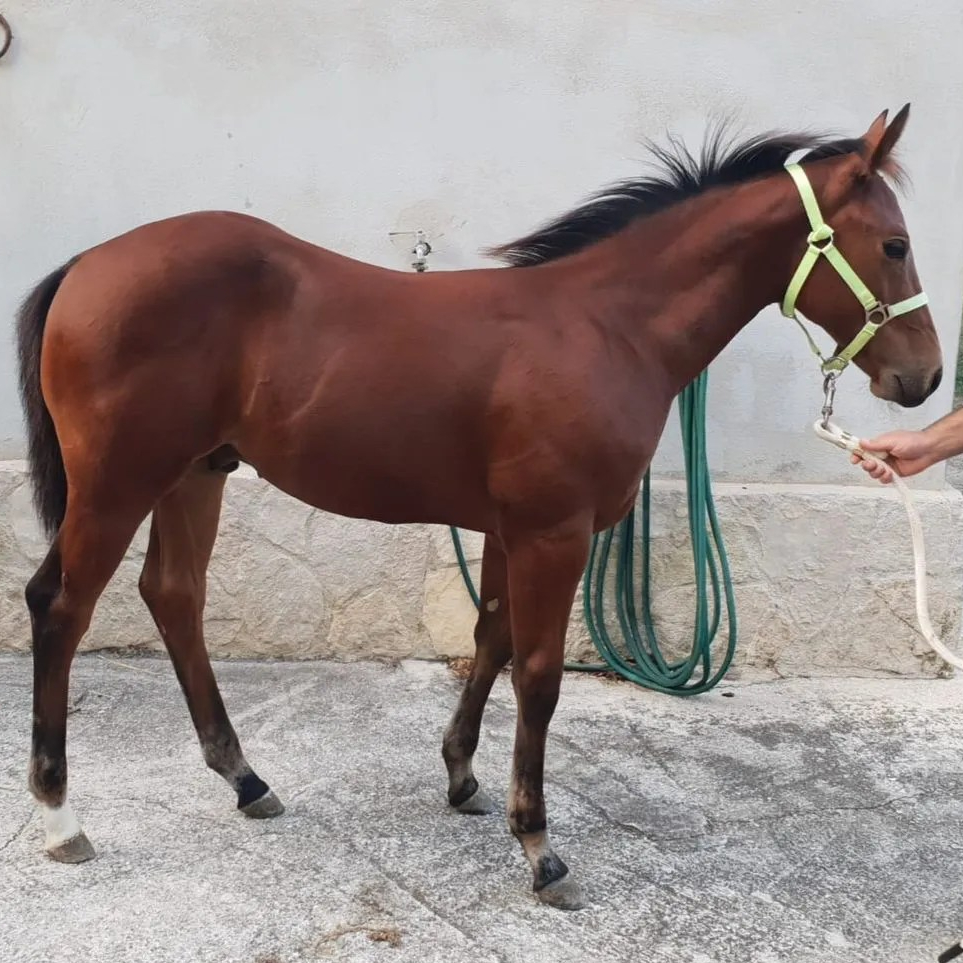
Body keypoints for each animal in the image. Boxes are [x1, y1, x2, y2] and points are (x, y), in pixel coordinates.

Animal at [14, 105, 941, 910]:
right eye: (893, 244)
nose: (924, 377)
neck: (606, 328)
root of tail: (87, 264)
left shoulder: (509, 529)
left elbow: (489, 639)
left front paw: (462, 777)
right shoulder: (553, 534)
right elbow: (537, 674)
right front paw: (539, 847)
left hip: (195, 475)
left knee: (174, 597)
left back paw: (246, 779)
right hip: (119, 484)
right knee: (60, 605)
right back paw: (61, 818)